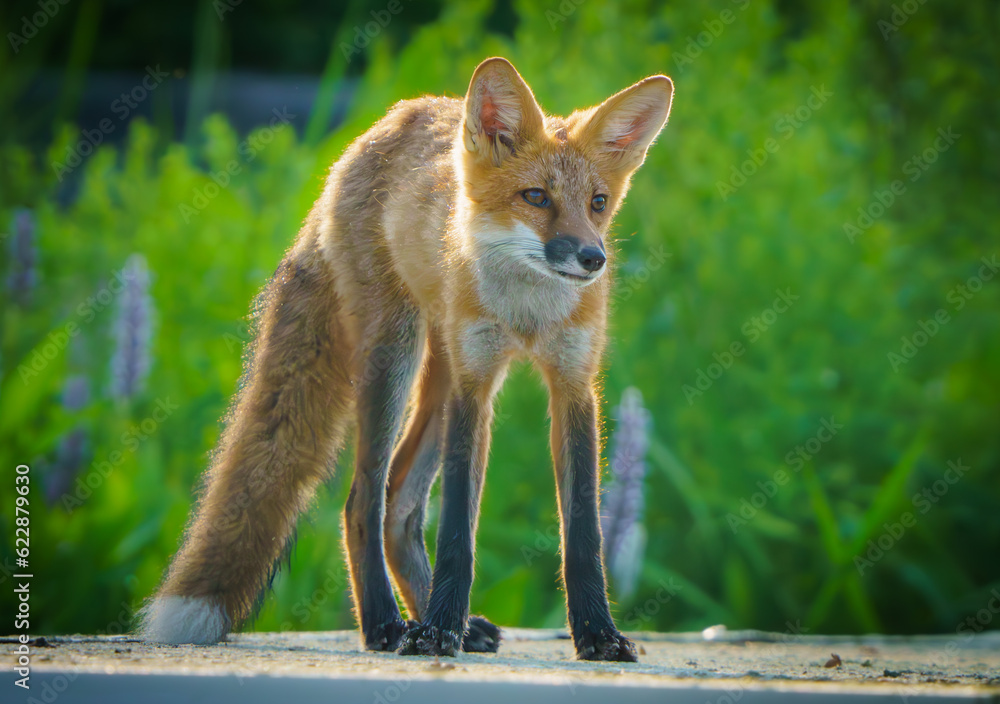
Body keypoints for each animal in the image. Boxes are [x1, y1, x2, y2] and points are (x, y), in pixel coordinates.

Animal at [138, 57, 673, 661]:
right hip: (395, 359)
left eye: (597, 203)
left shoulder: (572, 385)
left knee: (397, 505)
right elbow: (458, 530)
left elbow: (583, 534)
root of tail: (377, 132)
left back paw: (446, 625)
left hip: (437, 382)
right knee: (363, 500)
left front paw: (596, 634)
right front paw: (438, 630)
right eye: (536, 197)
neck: (526, 314)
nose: (592, 258)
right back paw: (388, 625)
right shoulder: (474, 384)